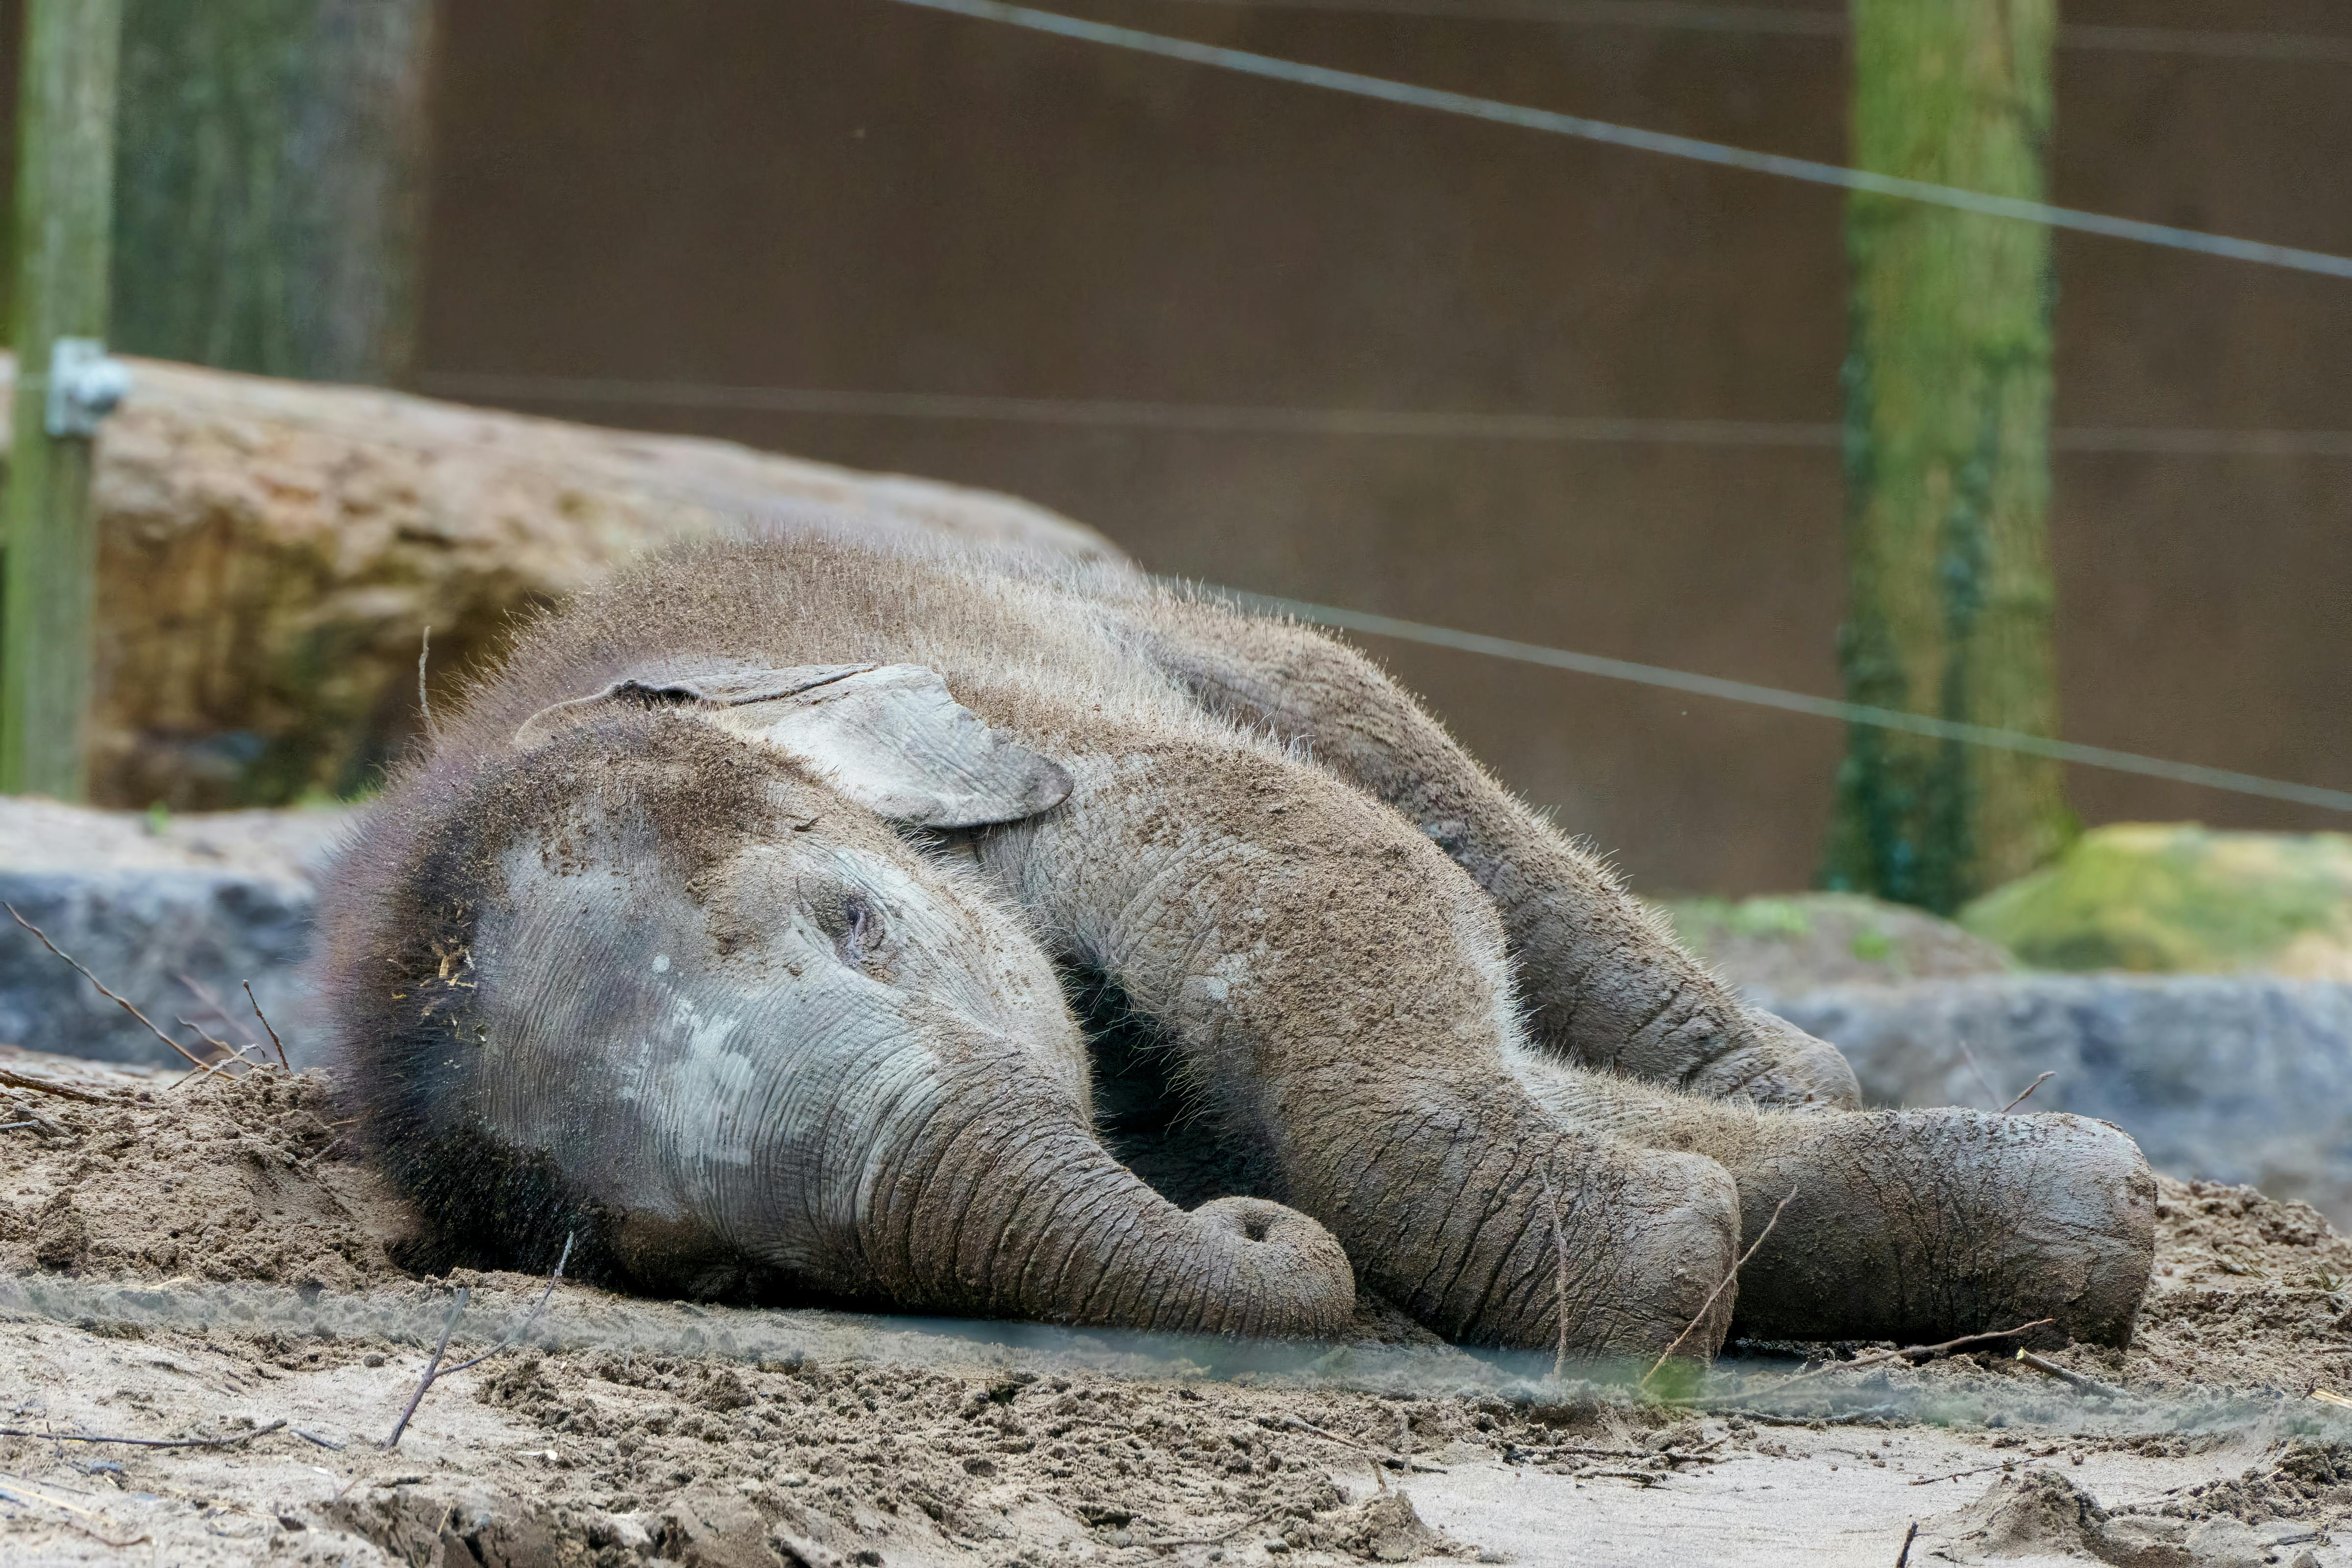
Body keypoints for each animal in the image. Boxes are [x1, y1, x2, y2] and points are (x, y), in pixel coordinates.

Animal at [317, 532, 2153, 1361]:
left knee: (1389, 762)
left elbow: (1332, 869)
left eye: (856, 916)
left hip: (1160, 627)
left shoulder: (1035, 719)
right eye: (707, 1264)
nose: (1247, 1218)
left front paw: (1668, 1258)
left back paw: (1799, 1080)